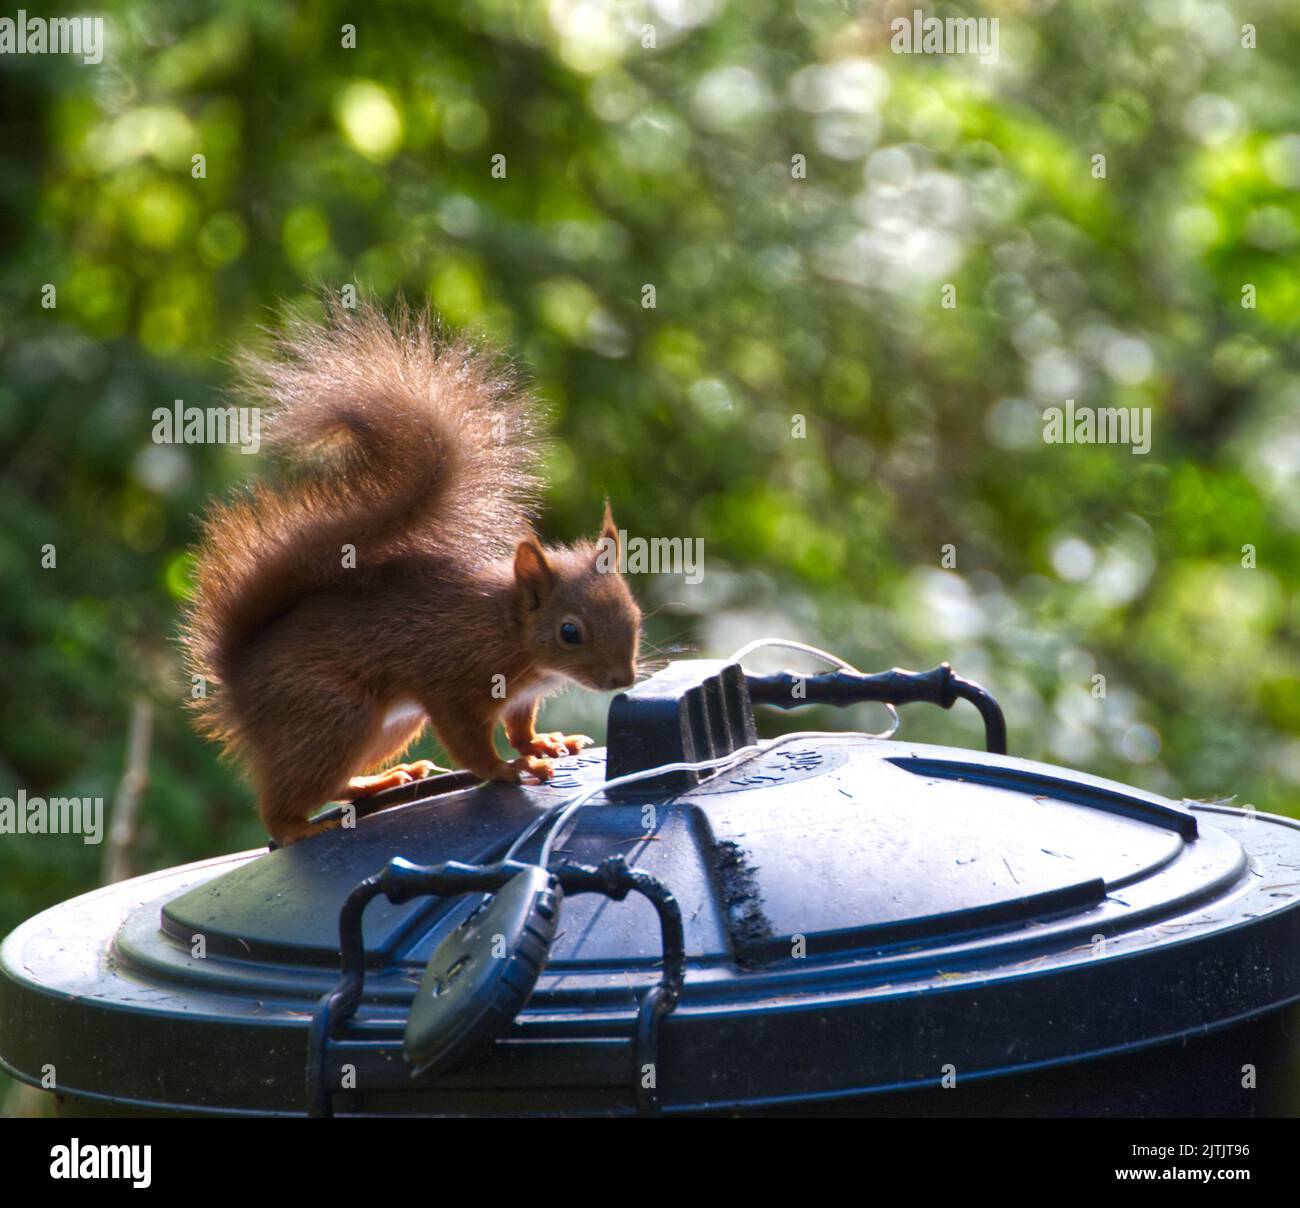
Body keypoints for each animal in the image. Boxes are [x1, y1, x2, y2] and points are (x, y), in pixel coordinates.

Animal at [181, 300, 641, 845]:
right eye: (570, 632)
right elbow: (468, 742)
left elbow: (519, 727)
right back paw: (301, 828)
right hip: (333, 715)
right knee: (283, 801)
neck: (512, 631)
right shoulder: (452, 683)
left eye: (635, 617)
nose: (622, 679)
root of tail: (238, 676)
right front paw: (507, 769)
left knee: (333, 780)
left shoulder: (519, 697)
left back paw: (380, 780)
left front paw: (543, 744)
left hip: (388, 727)